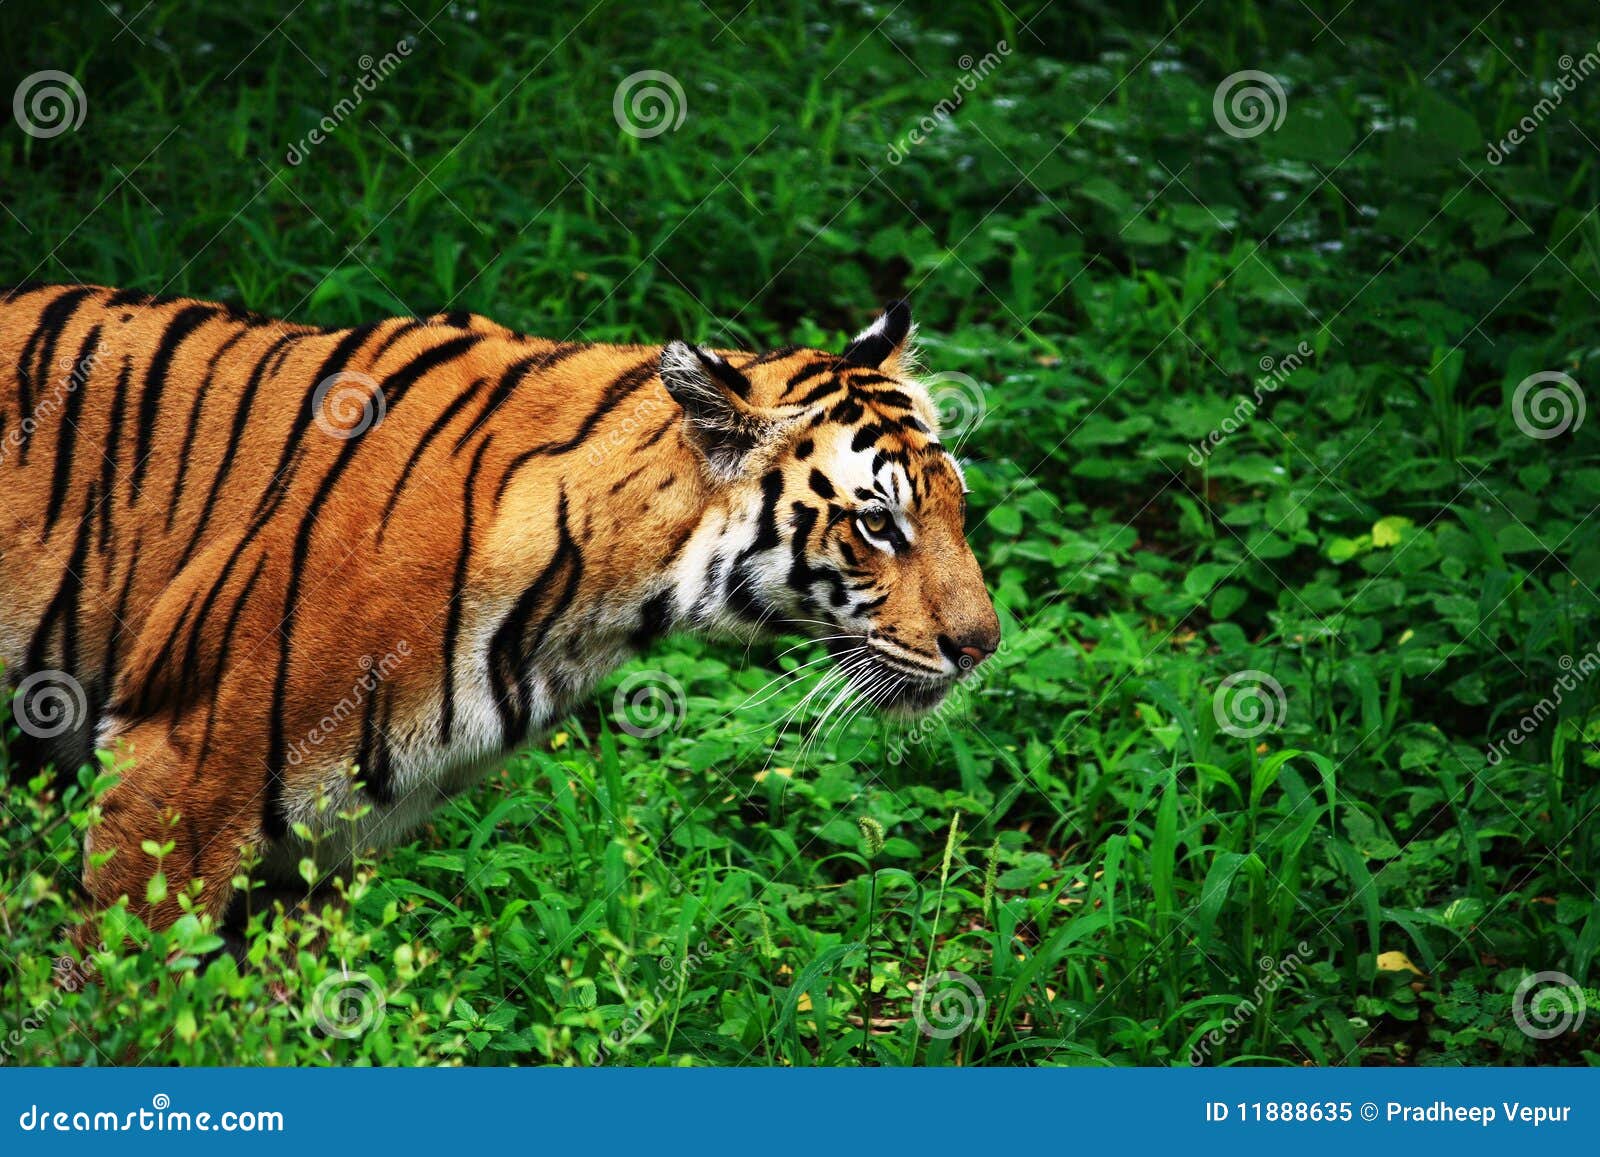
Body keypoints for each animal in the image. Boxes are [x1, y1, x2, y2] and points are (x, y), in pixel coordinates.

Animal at [0, 283, 1000, 932]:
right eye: (877, 523)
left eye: (954, 504)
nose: (982, 645)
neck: (593, 610)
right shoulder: (178, 774)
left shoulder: (319, 848)